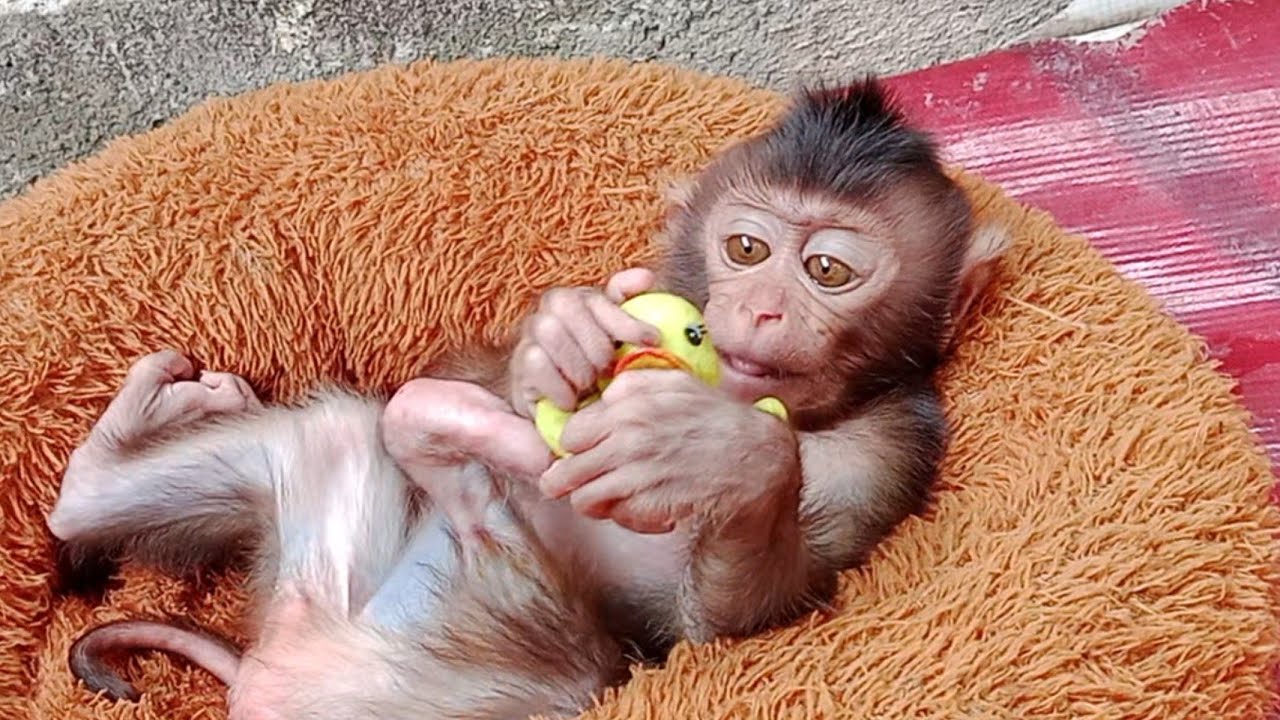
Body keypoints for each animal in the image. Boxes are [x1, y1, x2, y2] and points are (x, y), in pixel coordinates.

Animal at [48, 76, 1009, 719]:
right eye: (745, 247)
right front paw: (558, 339)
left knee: (562, 656)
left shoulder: (889, 447)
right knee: (341, 432)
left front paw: (720, 455)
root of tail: (266, 671)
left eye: (828, 270)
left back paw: (460, 455)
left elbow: (721, 627)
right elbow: (488, 361)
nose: (763, 308)